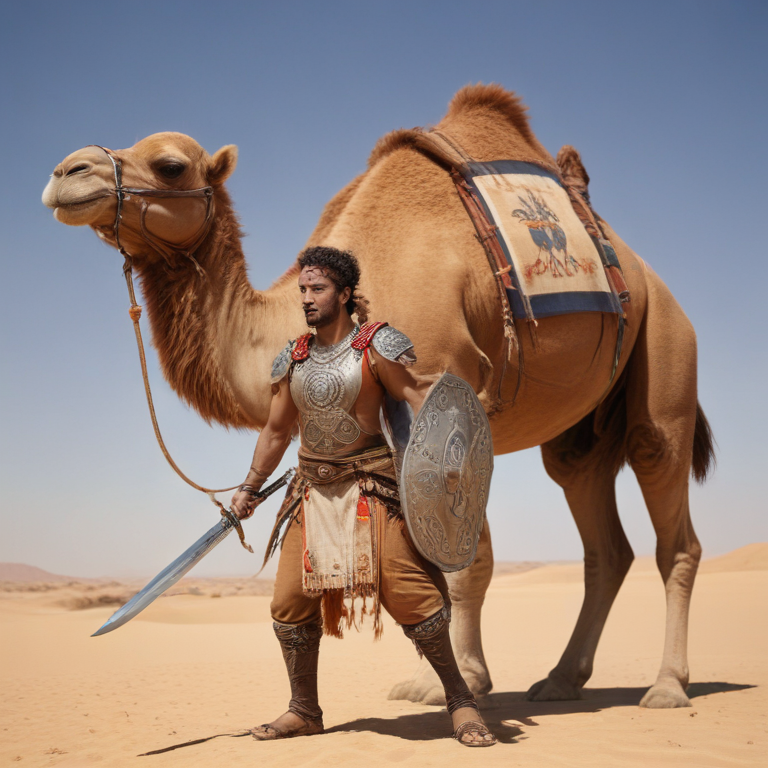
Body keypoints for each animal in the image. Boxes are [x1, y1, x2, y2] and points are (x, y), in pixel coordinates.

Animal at [42, 84, 714, 710]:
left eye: (171, 165)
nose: (66, 173)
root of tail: (648, 276)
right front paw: (441, 679)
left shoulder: (447, 392)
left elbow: (465, 559)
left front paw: (455, 682)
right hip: (580, 433)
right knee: (601, 535)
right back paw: (560, 680)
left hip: (668, 346)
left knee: (670, 515)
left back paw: (667, 686)